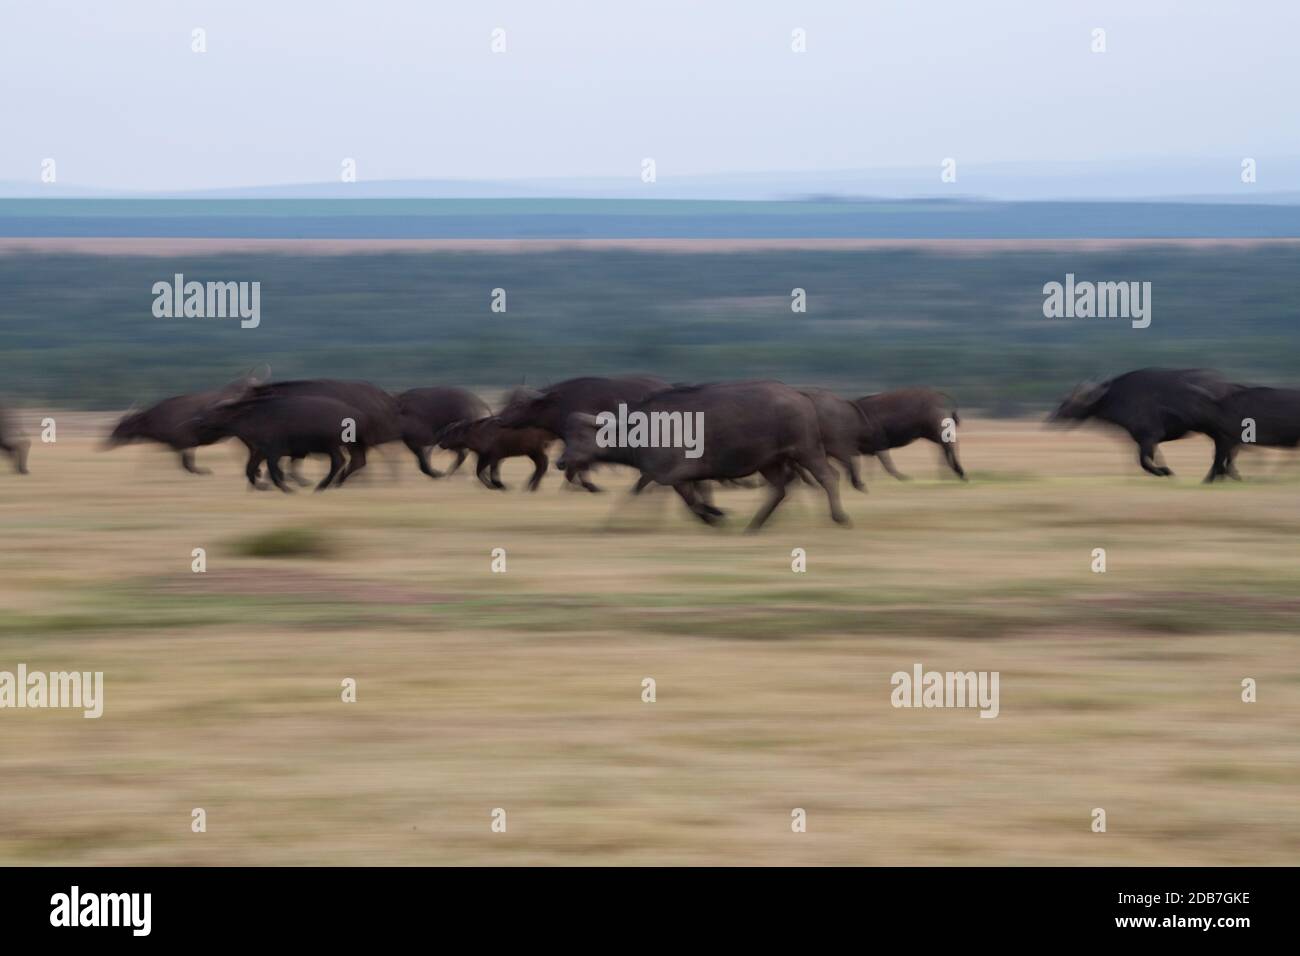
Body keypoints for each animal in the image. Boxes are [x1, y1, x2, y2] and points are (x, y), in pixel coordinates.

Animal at [1047, 368, 1240, 477]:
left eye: (1072, 402)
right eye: (1063, 400)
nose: (1052, 418)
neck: (1115, 398)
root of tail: (1228, 385)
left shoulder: (1149, 436)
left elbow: (1144, 461)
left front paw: (1165, 471)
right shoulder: (1144, 440)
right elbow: (1148, 459)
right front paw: (1164, 469)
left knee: (1225, 446)